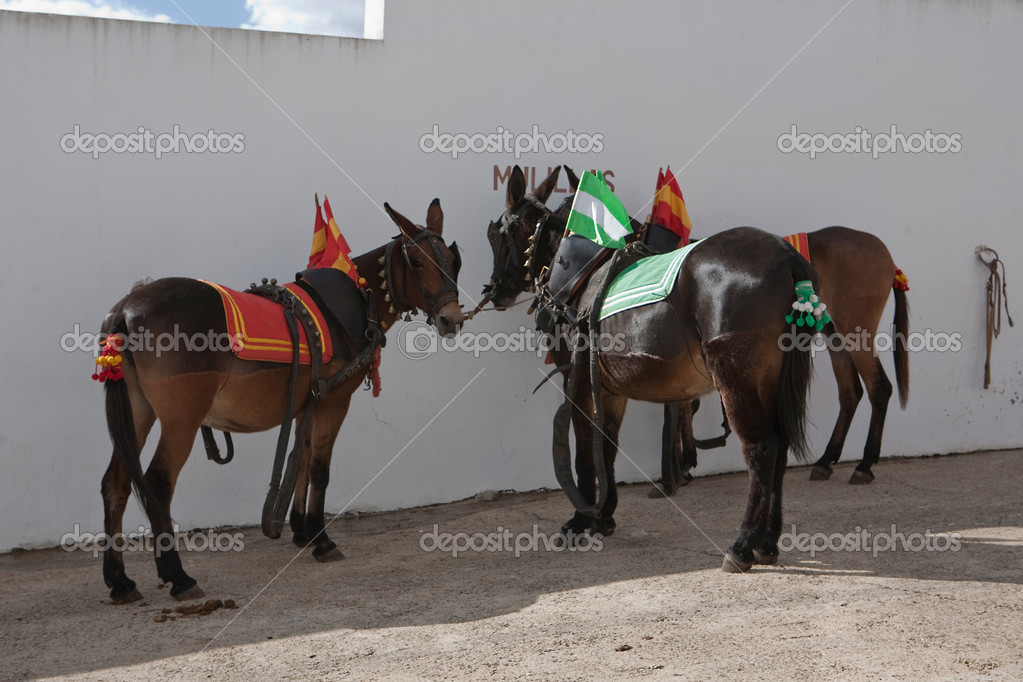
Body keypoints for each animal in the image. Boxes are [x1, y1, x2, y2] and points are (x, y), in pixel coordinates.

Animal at [99, 199, 463, 603]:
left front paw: (303, 531)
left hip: (139, 412)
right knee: (158, 483)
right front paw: (322, 538)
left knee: (115, 483)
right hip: (182, 419)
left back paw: (120, 580)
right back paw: (178, 575)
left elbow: (299, 460)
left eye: (452, 259)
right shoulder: (334, 402)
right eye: (416, 261)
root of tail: (126, 309)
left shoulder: (309, 403)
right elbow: (319, 469)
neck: (358, 298)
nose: (452, 319)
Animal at [484, 165, 821, 571]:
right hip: (770, 376)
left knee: (762, 447)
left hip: (735, 376)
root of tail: (787, 257)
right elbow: (606, 443)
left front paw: (581, 518)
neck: (583, 275)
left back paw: (742, 545)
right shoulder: (609, 388)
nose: (494, 290)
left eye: (496, 234)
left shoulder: (577, 381)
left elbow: (584, 445)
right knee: (781, 444)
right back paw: (768, 541)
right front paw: (605, 514)